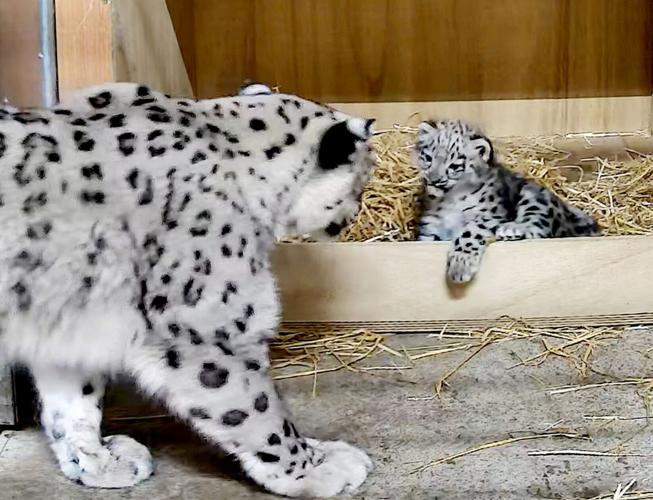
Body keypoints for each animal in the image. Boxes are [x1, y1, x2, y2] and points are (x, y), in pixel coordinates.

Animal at [0, 81, 376, 497]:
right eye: (365, 174)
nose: (354, 214)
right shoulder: (211, 329)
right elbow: (256, 408)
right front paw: (314, 468)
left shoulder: (74, 318)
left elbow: (72, 399)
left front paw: (100, 461)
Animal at [415, 119, 599, 283]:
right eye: (428, 158)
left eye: (455, 166)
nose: (434, 180)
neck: (449, 200)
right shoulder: (430, 228)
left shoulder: (489, 217)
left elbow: (469, 232)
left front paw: (460, 265)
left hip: (533, 197)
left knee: (540, 227)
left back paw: (510, 229)